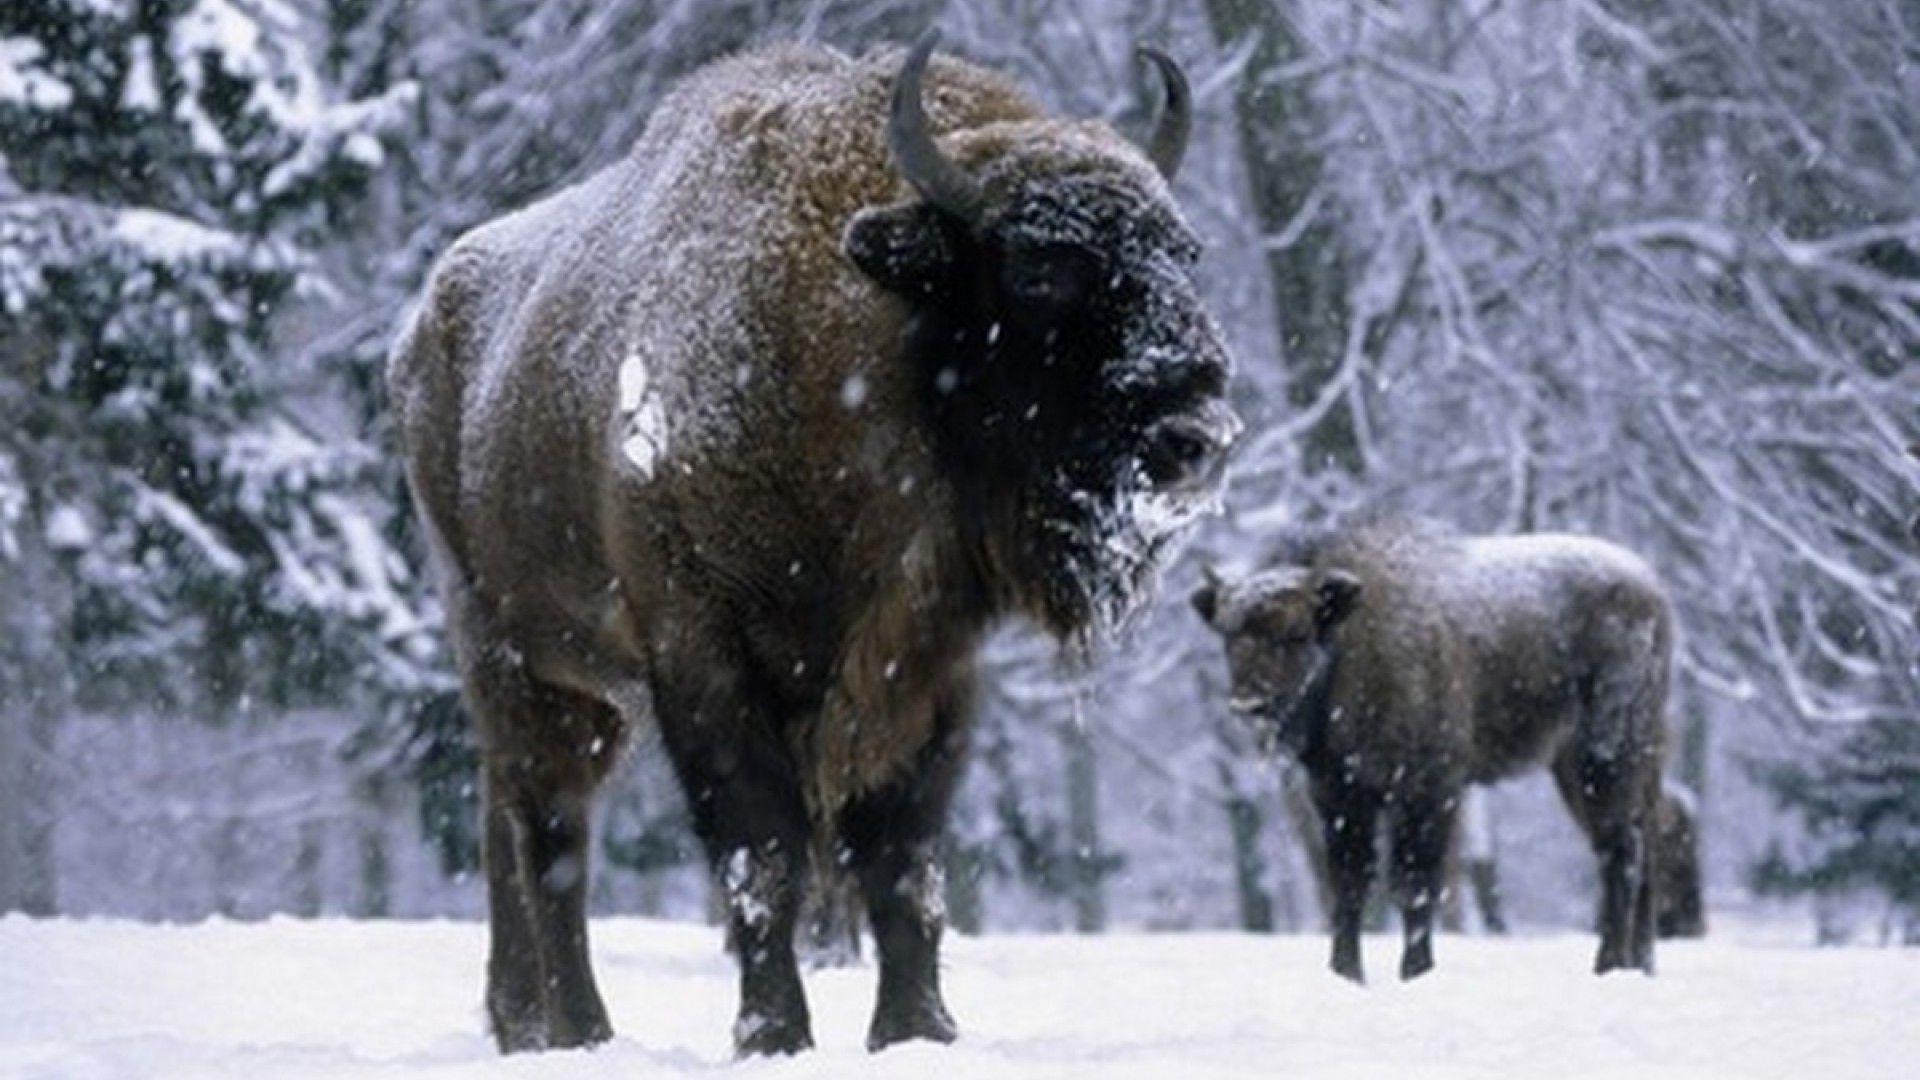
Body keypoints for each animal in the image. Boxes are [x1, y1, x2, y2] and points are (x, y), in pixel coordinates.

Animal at [389, 33, 1237, 1056]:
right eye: (1041, 266)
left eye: (1185, 254)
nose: (1197, 433)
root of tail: (423, 327)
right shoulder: (705, 658)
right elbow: (762, 854)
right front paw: (773, 1035)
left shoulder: (926, 666)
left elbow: (904, 859)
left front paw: (918, 1030)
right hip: (511, 653)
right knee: (551, 833)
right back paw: (581, 1030)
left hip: (579, 690)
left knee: (509, 818)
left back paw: (522, 1024)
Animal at [1192, 518, 1675, 982]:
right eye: (1228, 634)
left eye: (1297, 633)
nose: (1248, 704)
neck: (1356, 640)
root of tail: (1650, 588)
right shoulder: (1340, 793)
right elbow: (1350, 885)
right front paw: (1346, 974)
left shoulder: (1428, 789)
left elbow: (1415, 883)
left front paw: (1415, 972)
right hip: (1579, 770)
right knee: (1633, 849)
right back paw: (1638, 964)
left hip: (1606, 756)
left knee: (1622, 851)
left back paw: (1608, 965)